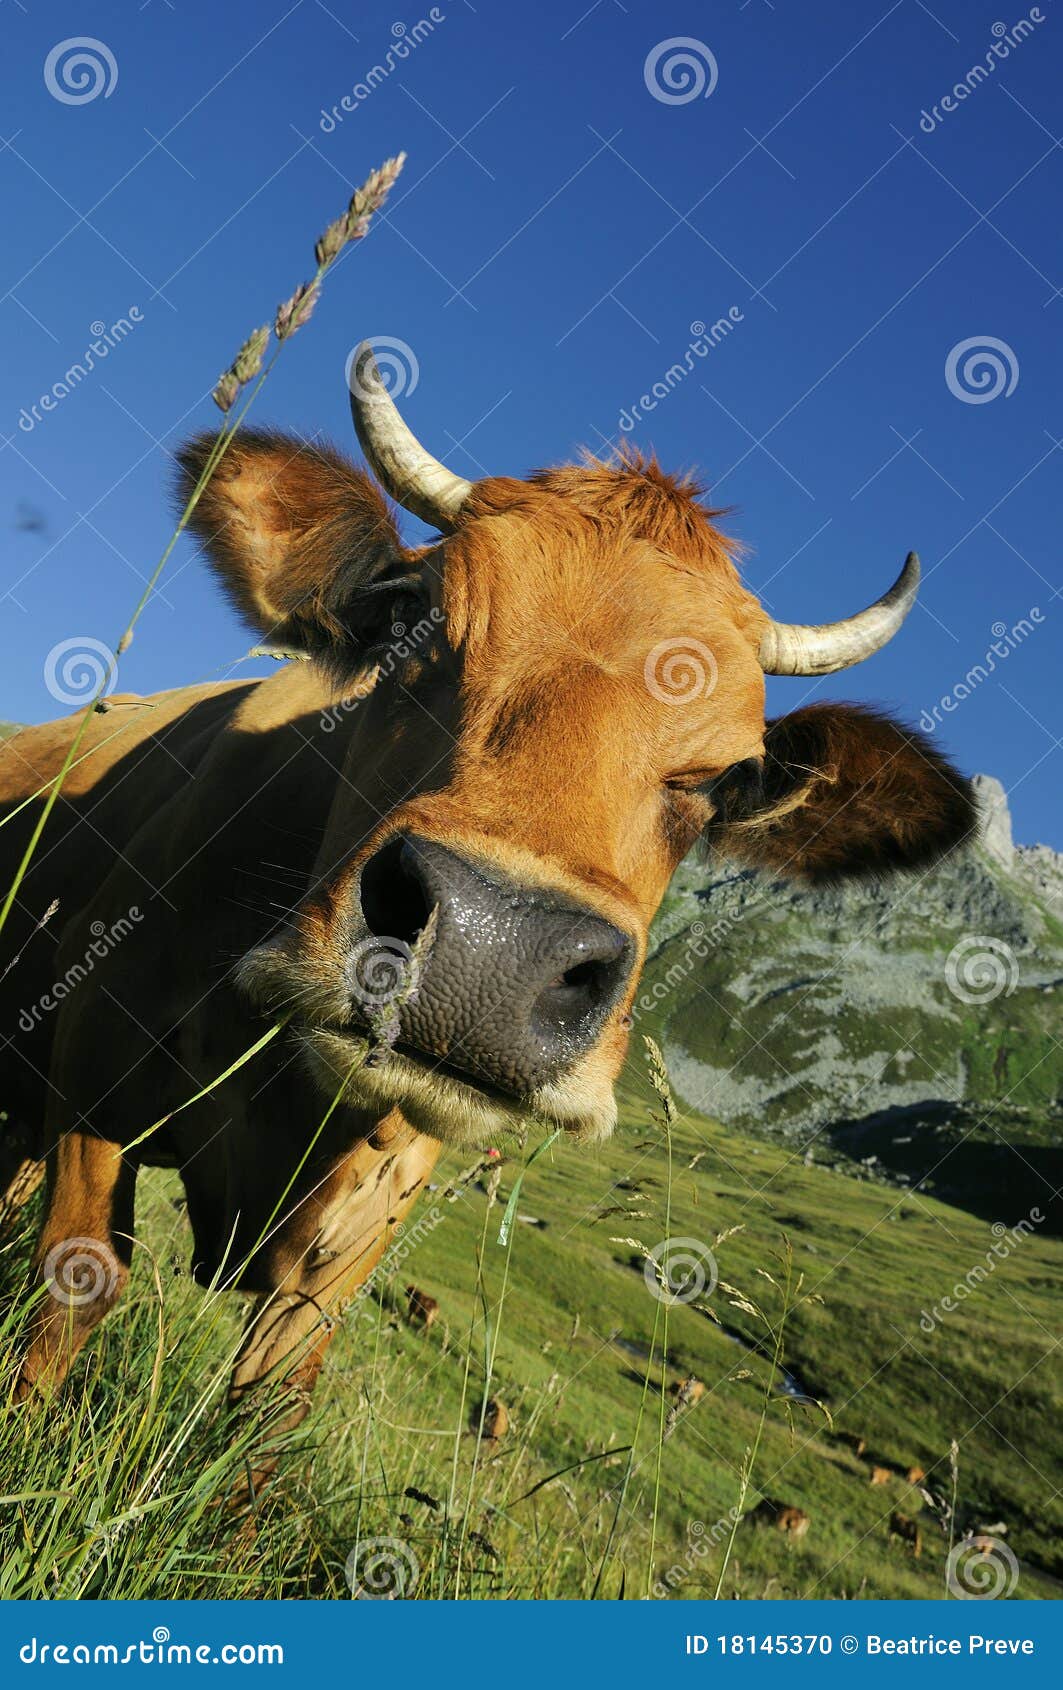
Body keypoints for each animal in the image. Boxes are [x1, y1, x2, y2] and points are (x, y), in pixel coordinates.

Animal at [0, 344, 975, 1430]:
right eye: (409, 619)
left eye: (726, 778)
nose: (493, 946)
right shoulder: (94, 1053)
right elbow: (79, 1283)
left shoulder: (382, 1192)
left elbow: (275, 1392)